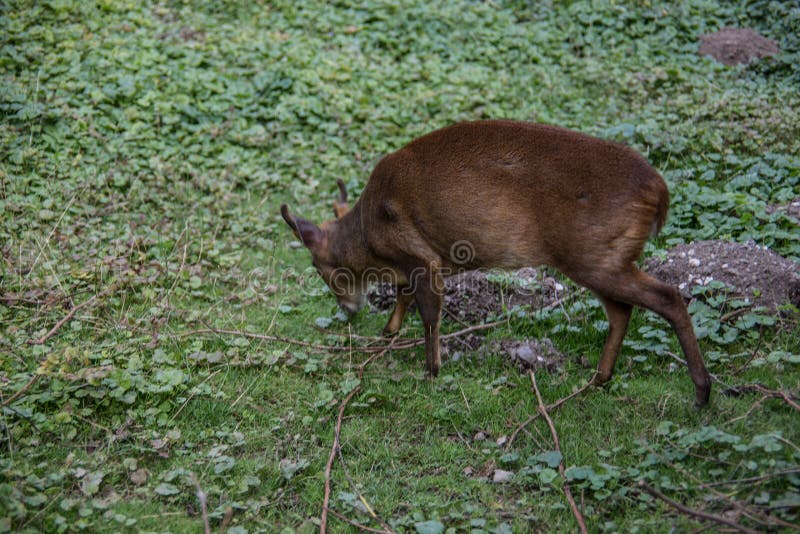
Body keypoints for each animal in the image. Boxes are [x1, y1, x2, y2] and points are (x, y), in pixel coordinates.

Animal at [281, 120, 712, 407]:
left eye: (321, 269)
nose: (347, 309)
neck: (369, 234)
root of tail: (659, 192)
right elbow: (404, 294)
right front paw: (389, 331)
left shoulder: (421, 255)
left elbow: (430, 313)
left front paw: (430, 371)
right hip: (600, 256)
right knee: (623, 310)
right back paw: (599, 380)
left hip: (594, 254)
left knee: (668, 297)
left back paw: (702, 391)